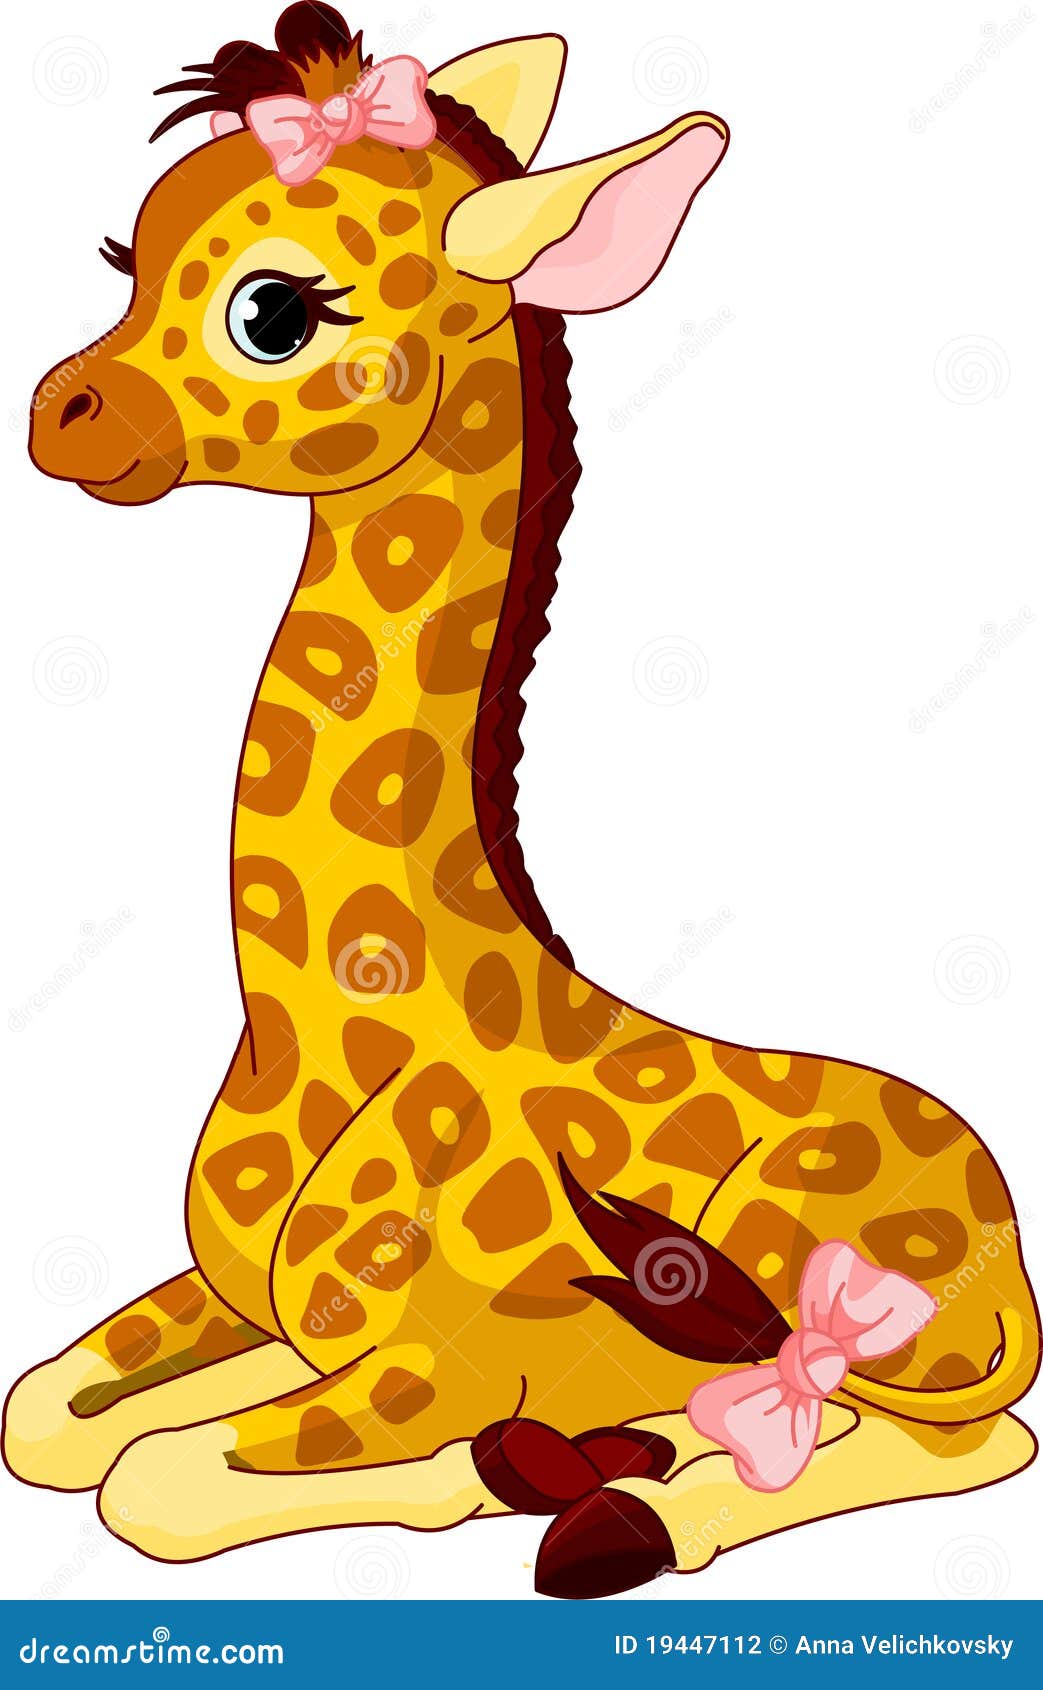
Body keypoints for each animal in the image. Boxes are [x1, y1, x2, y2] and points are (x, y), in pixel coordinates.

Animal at [5, 6, 1038, 1592]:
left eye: (274, 311)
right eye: (129, 255)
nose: (64, 416)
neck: (330, 1031)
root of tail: (1008, 1234)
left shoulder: (430, 1364)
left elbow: (156, 1480)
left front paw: (501, 1470)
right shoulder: (228, 1293)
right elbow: (54, 1411)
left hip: (828, 1285)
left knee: (953, 1434)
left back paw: (631, 1497)